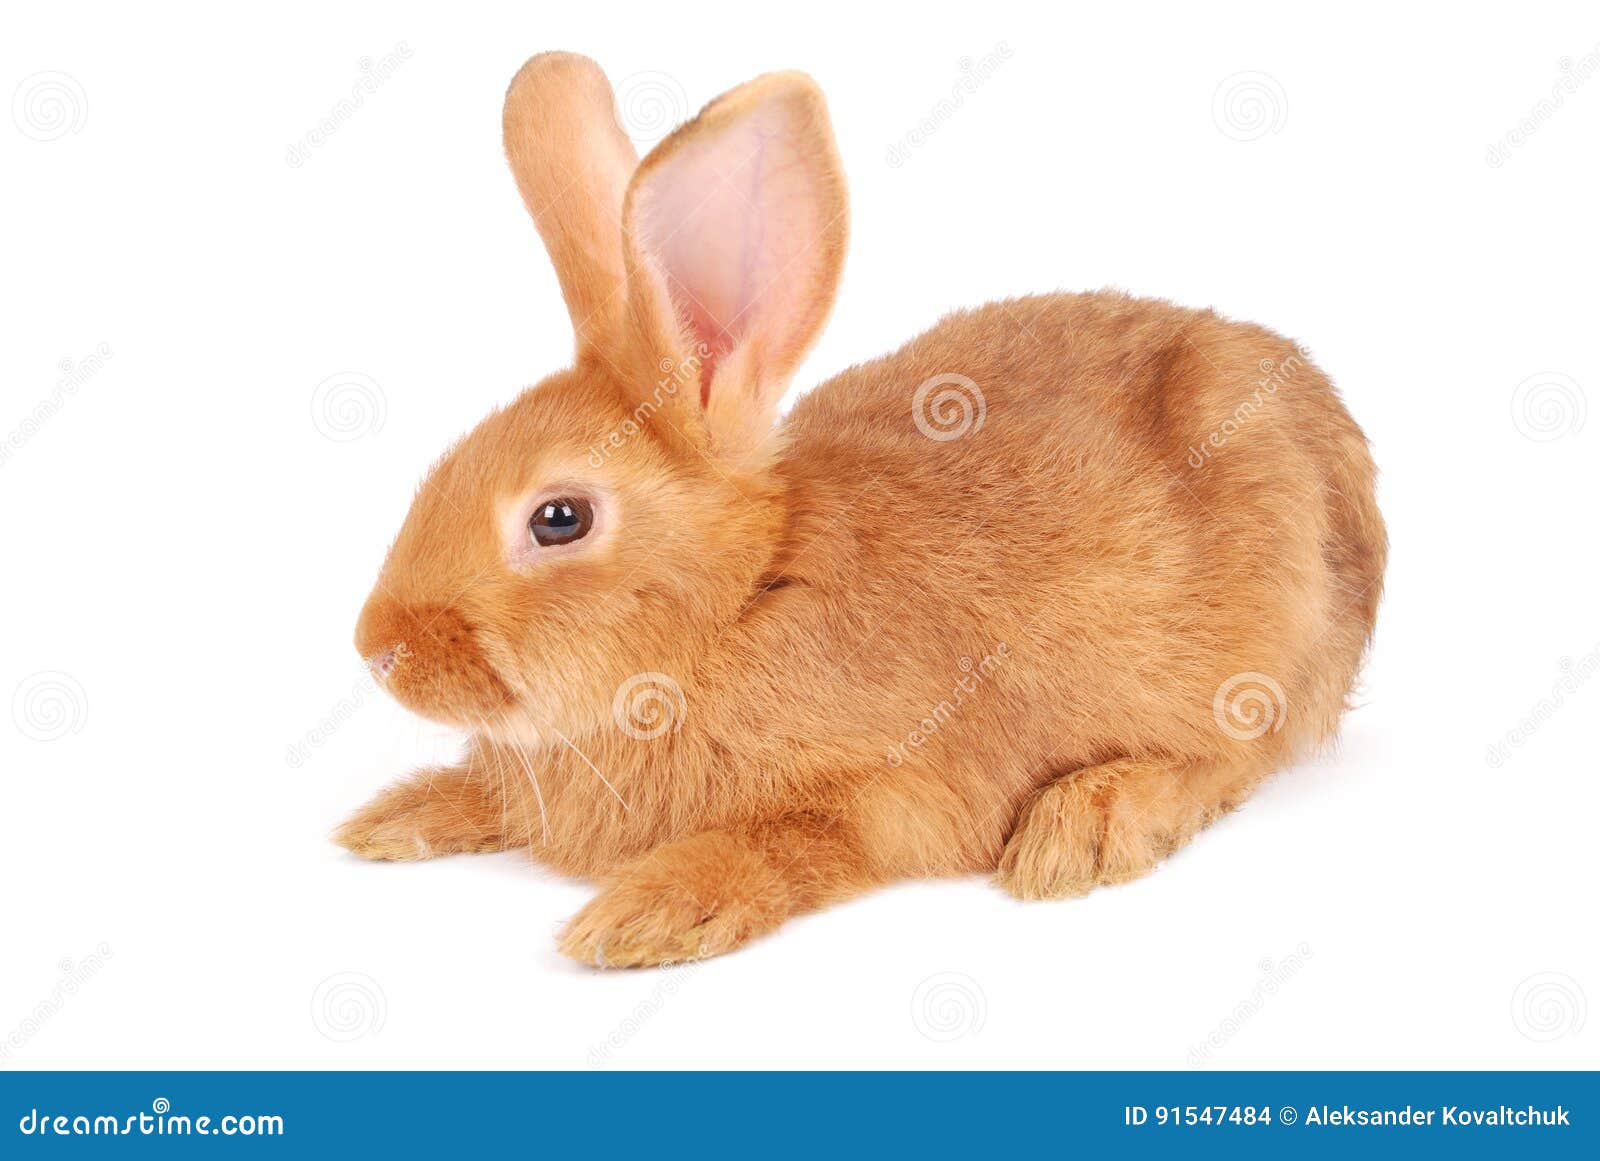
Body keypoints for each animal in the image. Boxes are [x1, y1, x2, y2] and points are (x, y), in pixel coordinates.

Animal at [335, 52, 1387, 967]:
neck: (739, 606)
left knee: (1239, 755)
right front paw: (394, 818)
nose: (378, 648)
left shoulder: (886, 791)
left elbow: (779, 843)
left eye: (559, 519)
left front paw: (648, 914)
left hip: (1272, 630)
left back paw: (1083, 827)